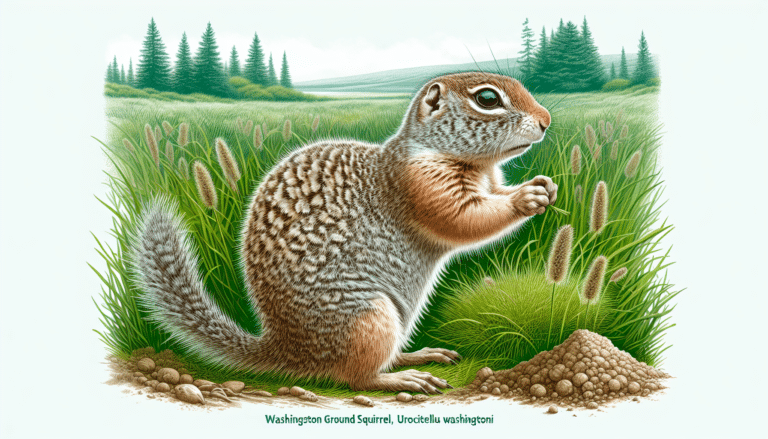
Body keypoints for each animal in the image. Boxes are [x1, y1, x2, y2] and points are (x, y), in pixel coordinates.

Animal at [132, 72, 556, 395]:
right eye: (487, 98)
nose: (547, 120)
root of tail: (287, 348)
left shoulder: (488, 182)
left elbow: (493, 199)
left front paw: (544, 187)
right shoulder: (419, 185)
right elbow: (464, 219)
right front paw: (526, 198)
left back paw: (420, 354)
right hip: (370, 318)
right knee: (356, 378)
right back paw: (404, 378)